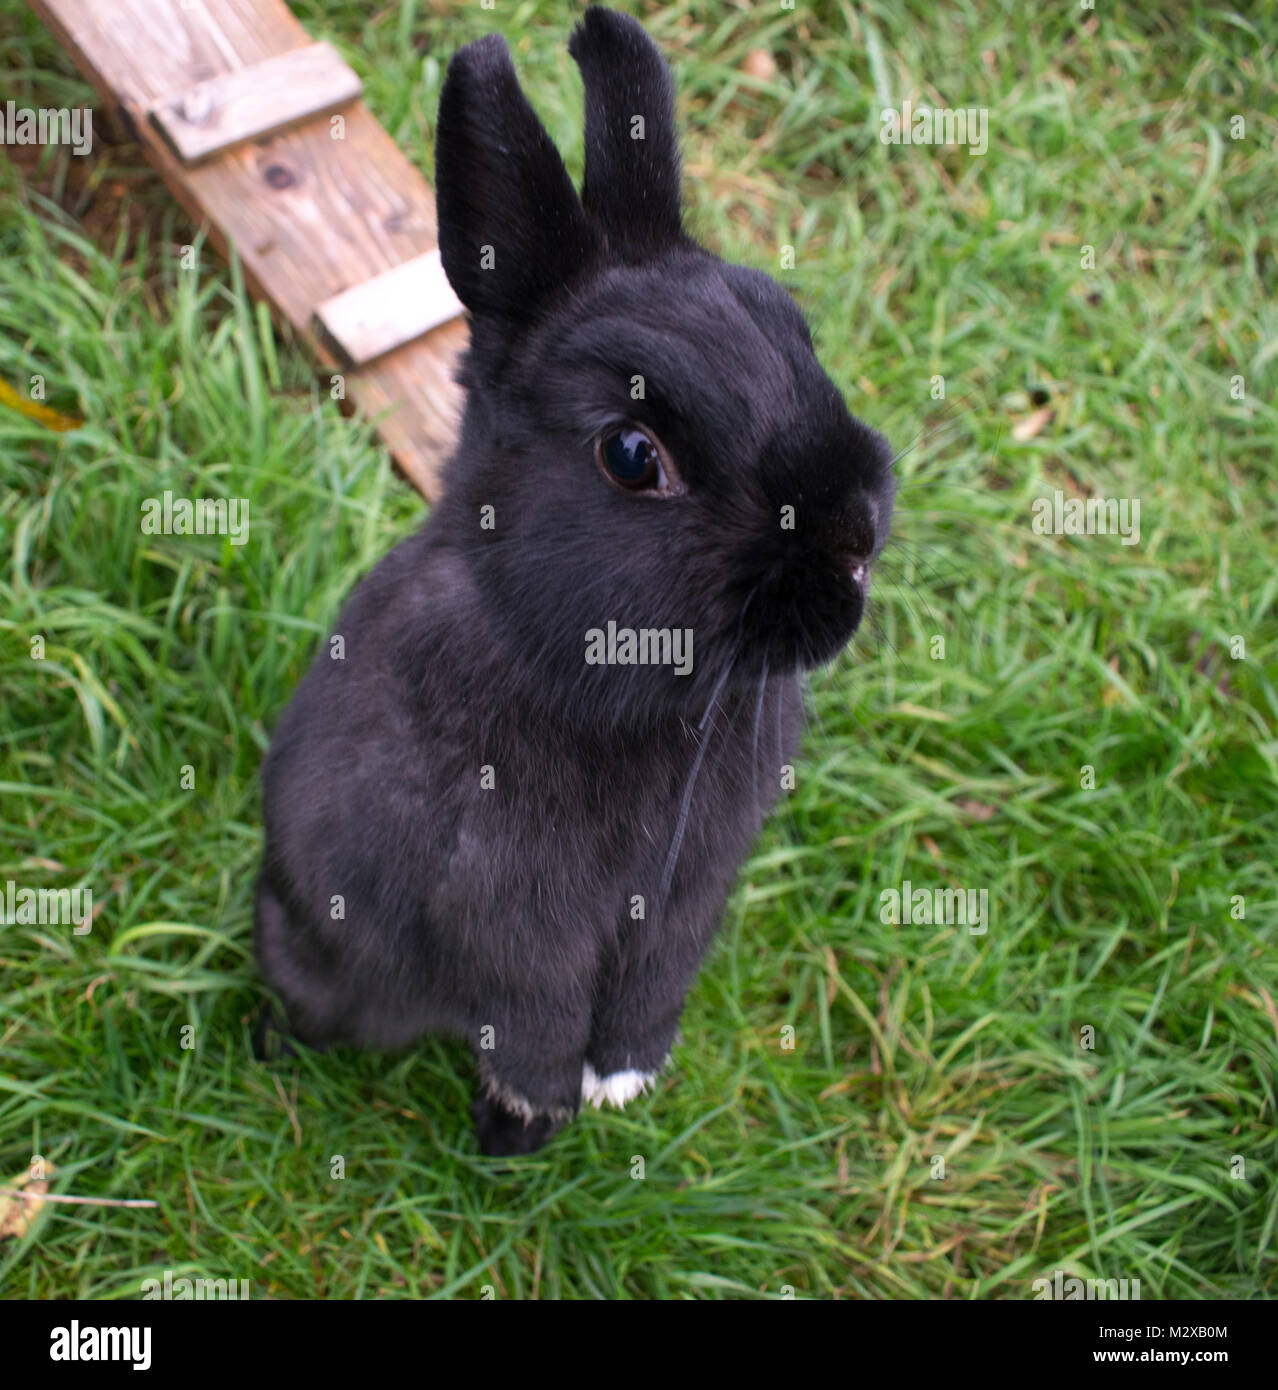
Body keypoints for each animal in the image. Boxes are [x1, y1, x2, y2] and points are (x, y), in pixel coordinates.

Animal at [254, 5, 895, 1156]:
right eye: (633, 456)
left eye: (790, 326)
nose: (857, 538)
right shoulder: (510, 916)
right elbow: (536, 1019)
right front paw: (531, 1120)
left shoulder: (683, 903)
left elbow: (647, 994)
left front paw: (627, 1081)